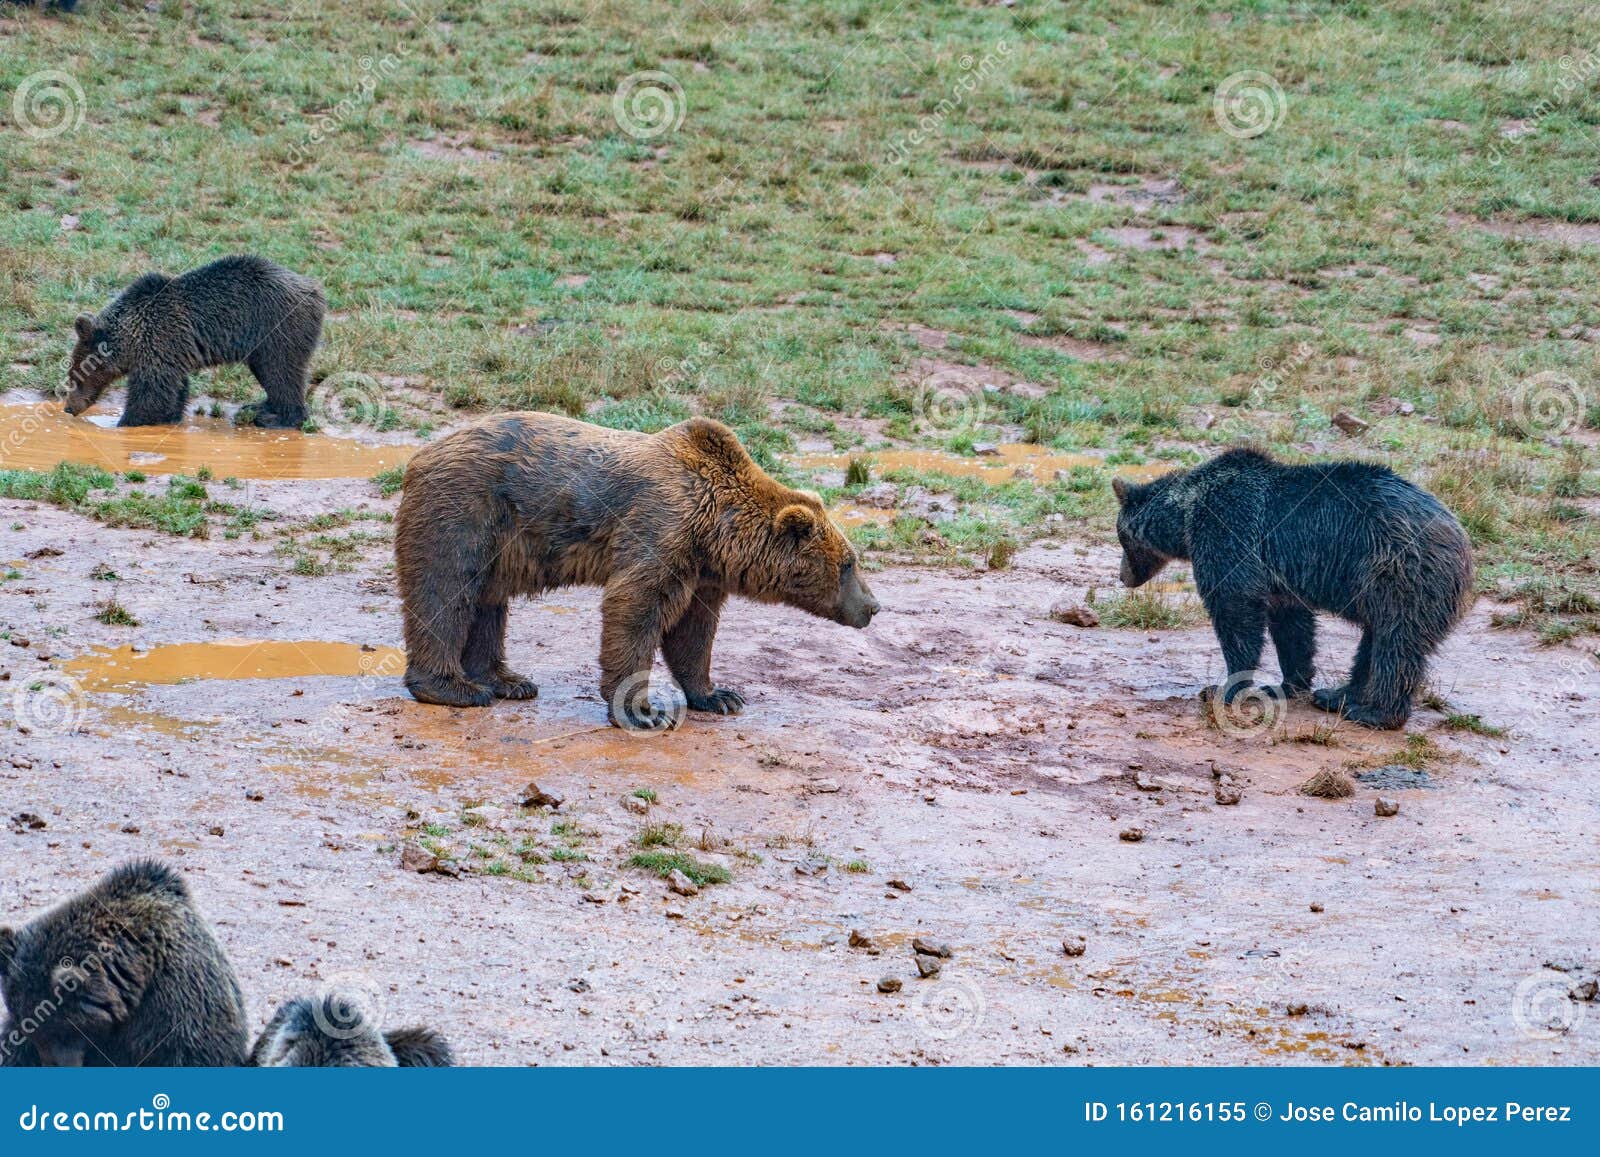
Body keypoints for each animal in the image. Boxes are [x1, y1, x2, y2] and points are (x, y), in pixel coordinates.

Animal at [63, 254, 325, 429]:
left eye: (75, 375)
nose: (68, 408)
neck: (131, 338)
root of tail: (314, 289)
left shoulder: (158, 341)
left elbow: (152, 392)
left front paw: (125, 422)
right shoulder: (173, 348)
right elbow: (174, 388)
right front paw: (170, 417)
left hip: (276, 328)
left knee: (280, 371)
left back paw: (278, 418)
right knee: (271, 373)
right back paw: (259, 407)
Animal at [394, 412, 880, 729]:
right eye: (849, 563)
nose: (873, 606)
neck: (714, 529)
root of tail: (419, 455)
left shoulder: (701, 573)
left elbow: (693, 631)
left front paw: (720, 695)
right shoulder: (660, 529)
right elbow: (635, 608)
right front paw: (644, 710)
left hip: (497, 544)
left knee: (488, 604)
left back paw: (506, 681)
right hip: (467, 511)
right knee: (447, 591)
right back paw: (454, 688)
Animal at [1112, 447, 1473, 730]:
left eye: (1122, 538)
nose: (1122, 576)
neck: (1186, 515)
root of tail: (1461, 539)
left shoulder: (1229, 533)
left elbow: (1235, 608)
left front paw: (1223, 688)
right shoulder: (1281, 578)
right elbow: (1292, 627)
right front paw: (1286, 684)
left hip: (1397, 573)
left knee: (1396, 644)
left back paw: (1374, 712)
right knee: (1374, 641)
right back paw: (1337, 695)